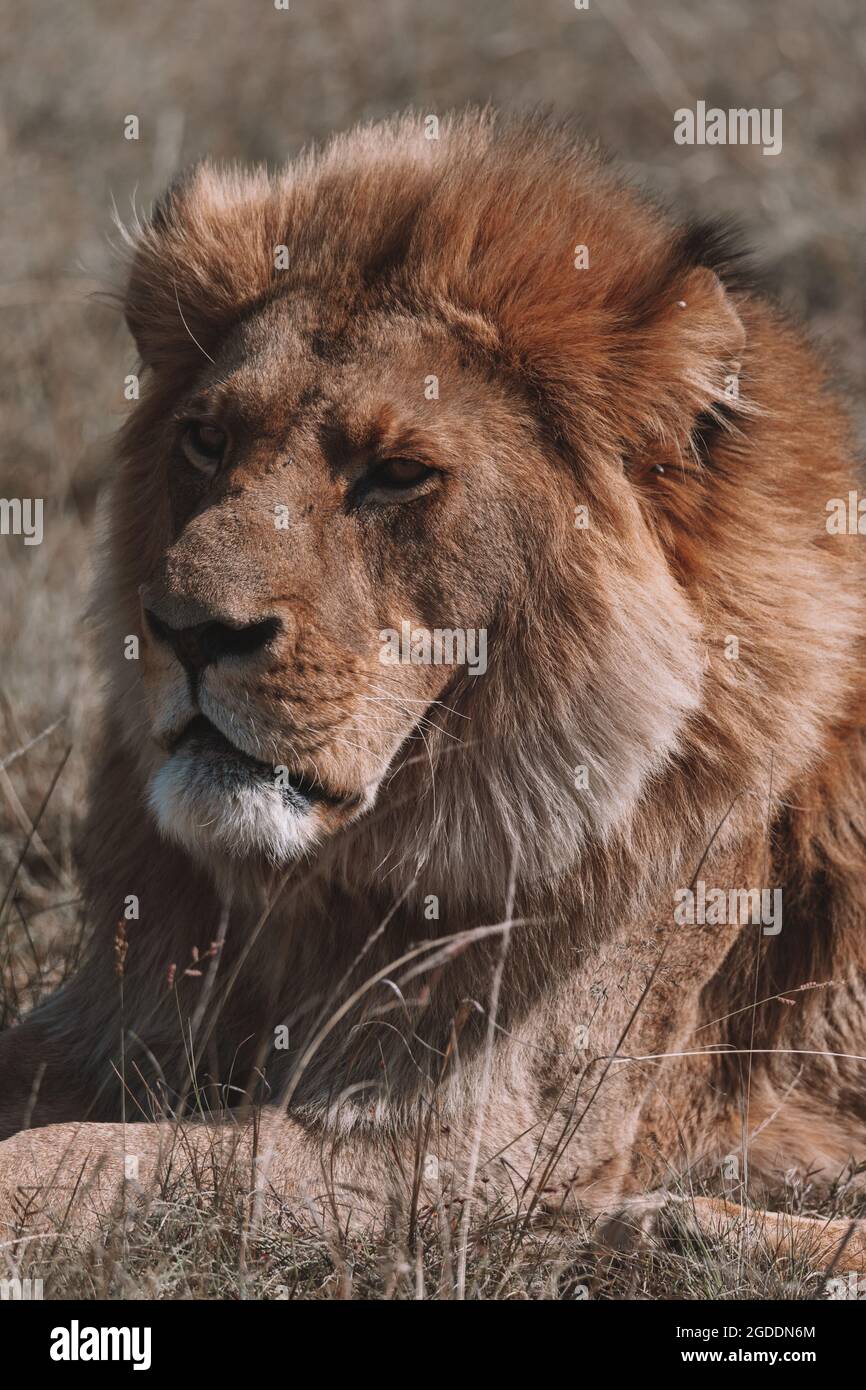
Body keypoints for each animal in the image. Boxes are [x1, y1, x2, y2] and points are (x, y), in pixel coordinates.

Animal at [1, 109, 865, 1273]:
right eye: (207, 440)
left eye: (397, 474)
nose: (185, 631)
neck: (324, 890)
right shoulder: (107, 1023)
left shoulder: (460, 1146)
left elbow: (85, 1154)